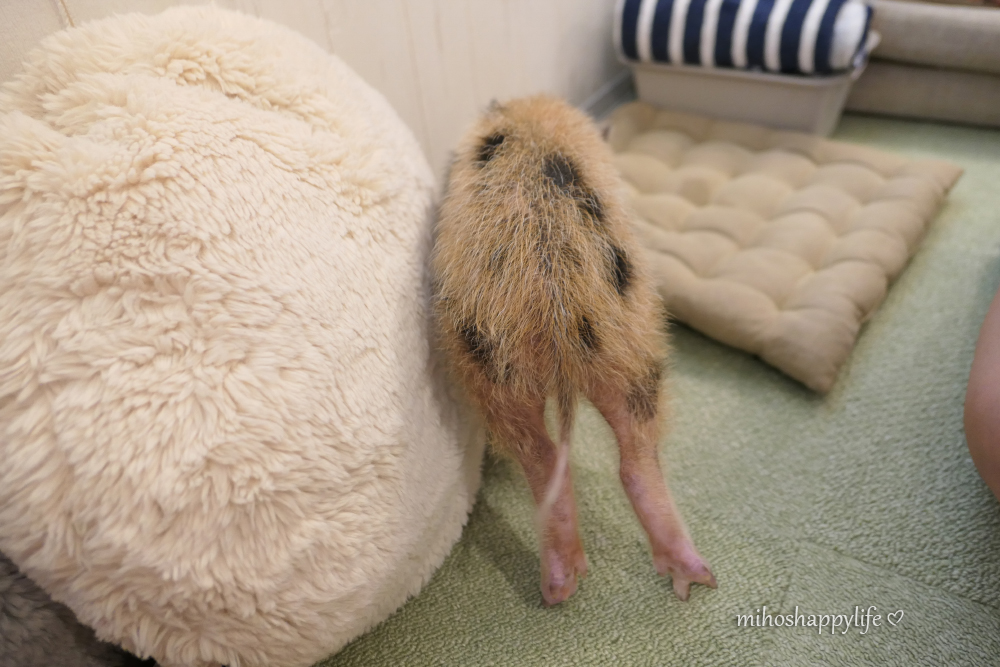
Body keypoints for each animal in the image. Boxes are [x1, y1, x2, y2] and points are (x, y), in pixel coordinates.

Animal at [430, 95, 715, 606]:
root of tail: (557, 304)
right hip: (627, 351)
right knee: (629, 456)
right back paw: (685, 578)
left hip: (498, 369)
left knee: (547, 457)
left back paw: (561, 587)